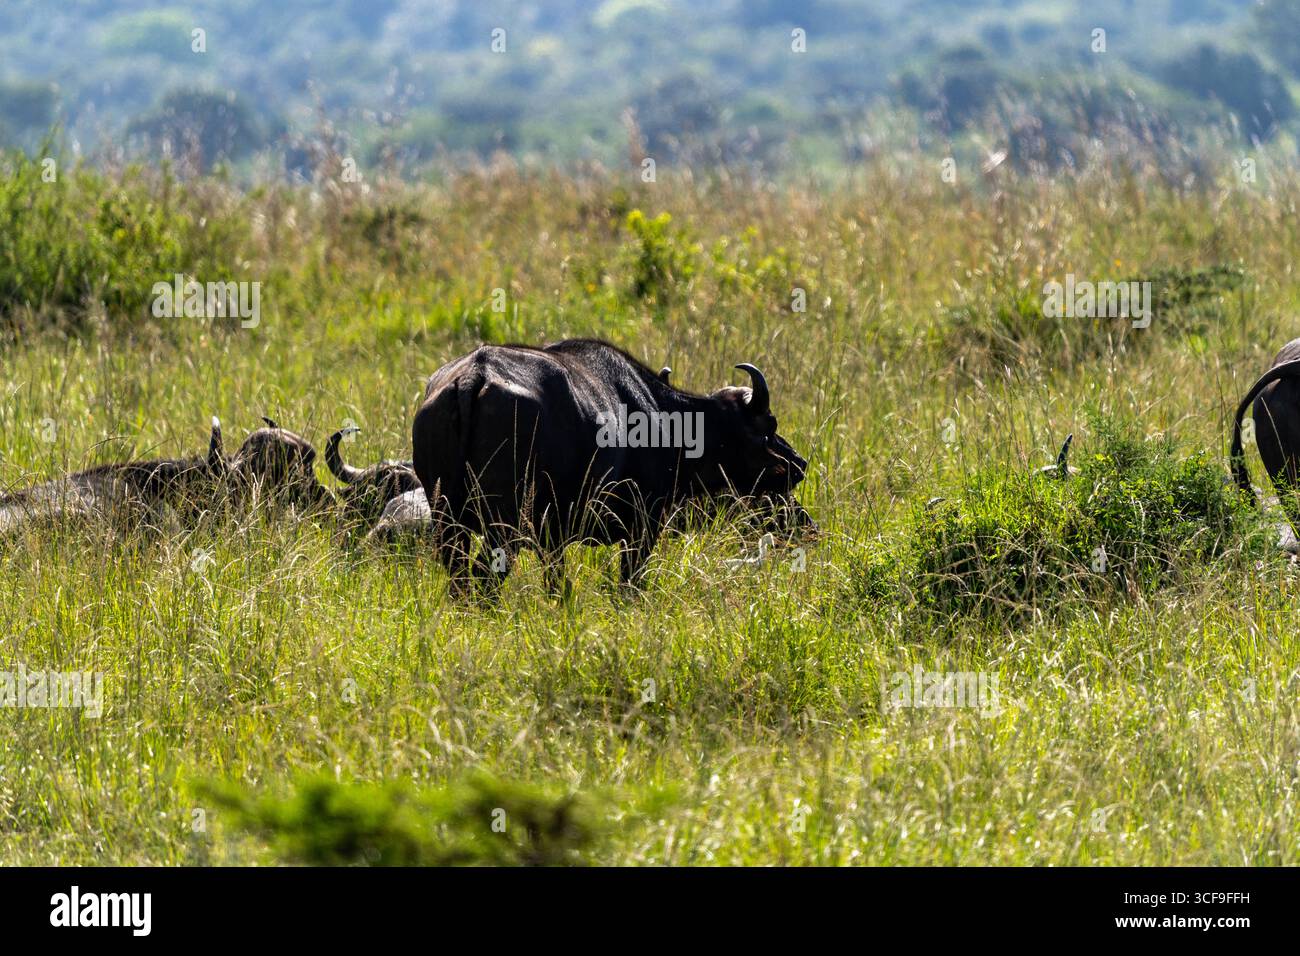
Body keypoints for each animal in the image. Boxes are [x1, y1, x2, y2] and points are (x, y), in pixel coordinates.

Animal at [411, 338, 810, 592]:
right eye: (768, 426)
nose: (799, 464)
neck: (663, 419)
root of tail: (471, 377)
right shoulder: (642, 528)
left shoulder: (552, 540)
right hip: (503, 527)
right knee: (482, 579)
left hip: (449, 523)